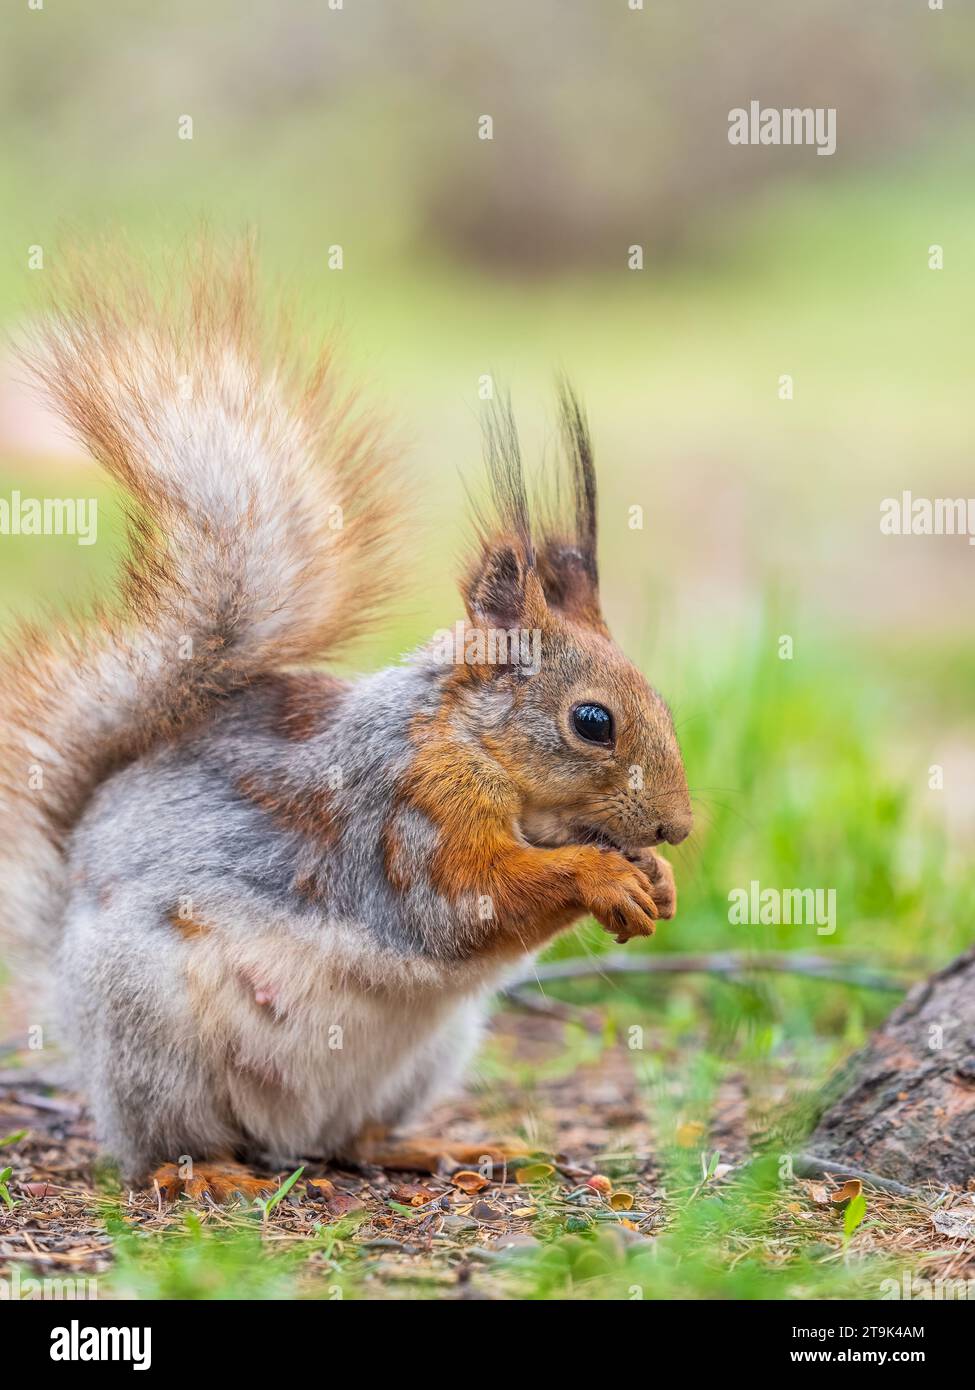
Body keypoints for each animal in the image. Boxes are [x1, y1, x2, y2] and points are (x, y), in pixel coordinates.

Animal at [0, 244, 692, 1189]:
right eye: (592, 721)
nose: (677, 828)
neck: (469, 745)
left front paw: (653, 880)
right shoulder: (404, 822)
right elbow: (466, 907)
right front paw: (602, 877)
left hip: (426, 1054)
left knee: (351, 1138)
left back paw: (435, 1145)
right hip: (150, 1026)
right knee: (159, 1145)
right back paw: (202, 1171)